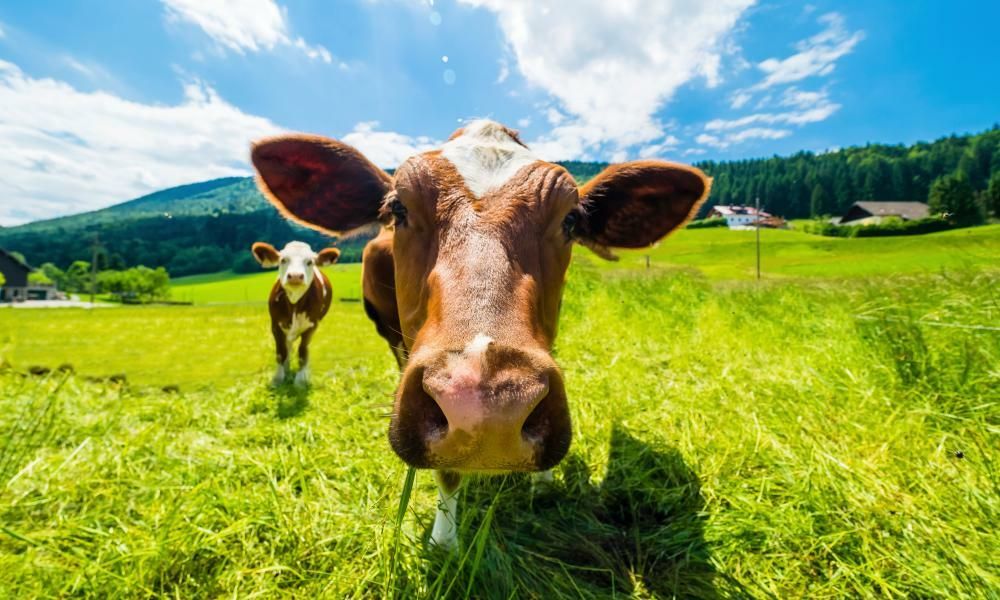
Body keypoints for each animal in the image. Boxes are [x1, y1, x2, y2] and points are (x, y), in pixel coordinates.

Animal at [252, 241, 340, 387]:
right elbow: (281, 352)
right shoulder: (275, 325)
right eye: (283, 260)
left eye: (310, 262)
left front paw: (301, 380)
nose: (295, 276)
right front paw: (278, 378)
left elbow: (303, 351)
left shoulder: (311, 326)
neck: (294, 303)